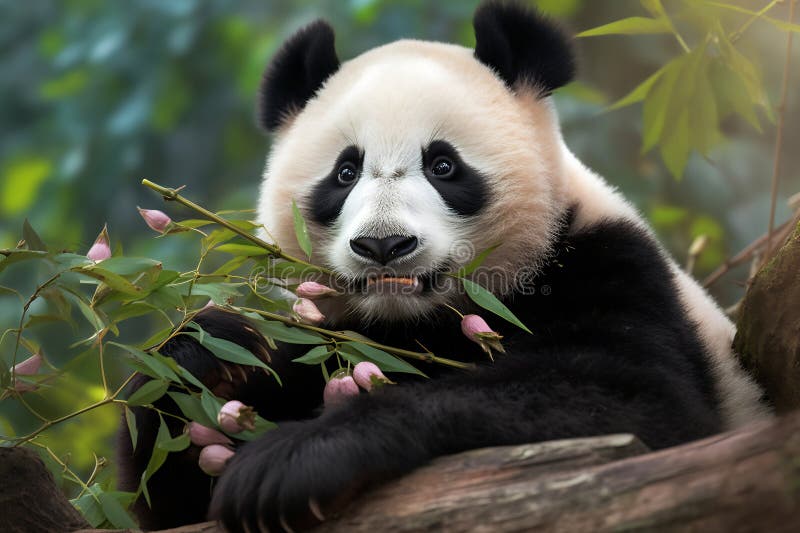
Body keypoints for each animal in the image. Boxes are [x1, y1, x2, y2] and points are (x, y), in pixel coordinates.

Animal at [118, 2, 770, 531]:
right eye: (345, 172)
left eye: (444, 166)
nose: (384, 246)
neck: (413, 321)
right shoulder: (325, 344)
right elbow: (169, 500)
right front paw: (209, 354)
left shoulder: (608, 265)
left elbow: (633, 405)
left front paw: (295, 460)